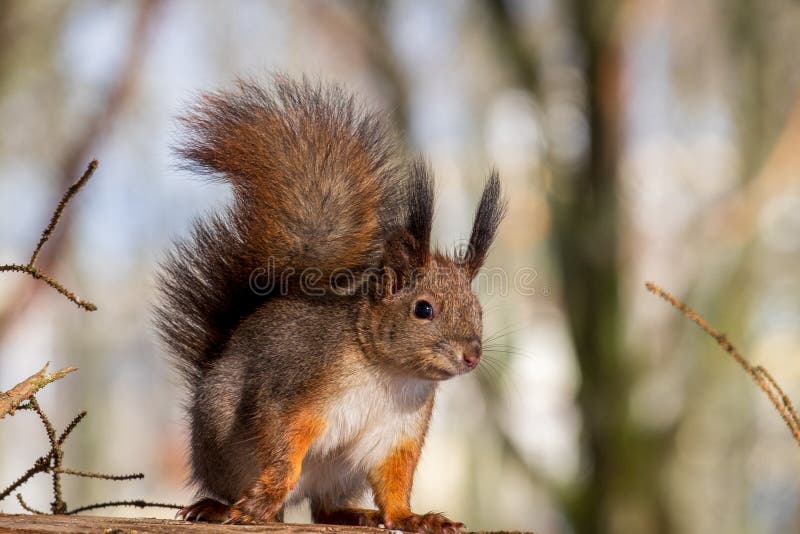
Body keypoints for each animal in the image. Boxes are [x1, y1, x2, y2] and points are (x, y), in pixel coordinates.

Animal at [155, 76, 506, 533]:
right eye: (424, 309)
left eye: (478, 310)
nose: (472, 355)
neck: (387, 372)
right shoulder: (294, 390)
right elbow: (282, 447)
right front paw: (256, 504)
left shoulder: (398, 435)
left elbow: (395, 483)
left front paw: (413, 517)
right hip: (225, 446)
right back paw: (221, 506)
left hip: (342, 473)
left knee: (323, 507)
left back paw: (354, 513)